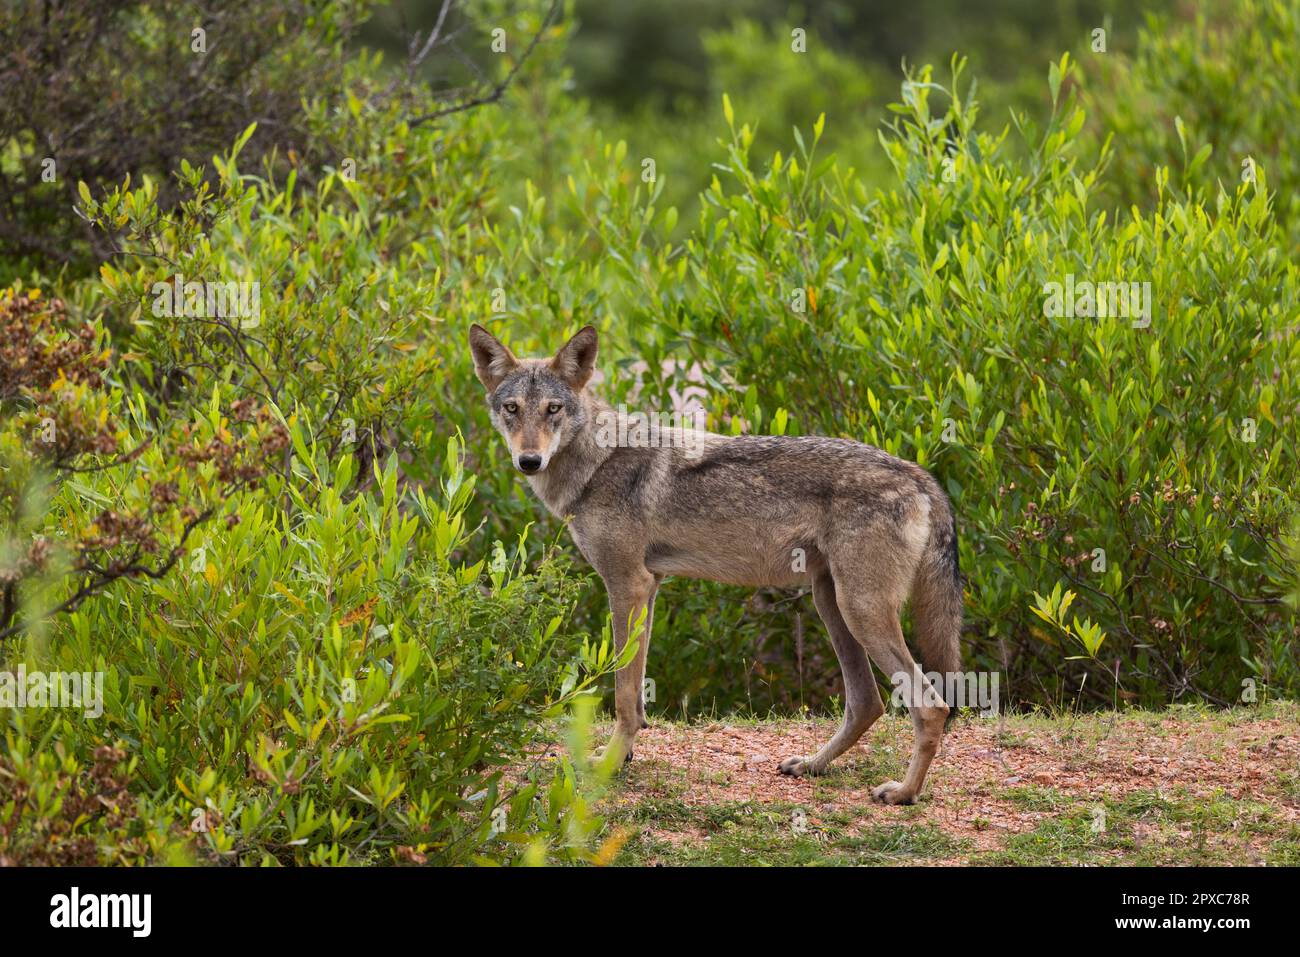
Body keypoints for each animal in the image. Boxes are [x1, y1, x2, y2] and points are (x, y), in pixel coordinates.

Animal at [469, 324, 962, 805]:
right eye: (512, 408)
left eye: (553, 409)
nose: (529, 460)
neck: (596, 461)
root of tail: (920, 475)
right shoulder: (649, 586)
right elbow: (638, 693)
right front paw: (624, 756)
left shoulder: (627, 583)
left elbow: (624, 693)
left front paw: (607, 764)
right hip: (832, 604)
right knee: (867, 703)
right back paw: (812, 765)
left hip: (859, 610)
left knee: (931, 704)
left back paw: (904, 793)